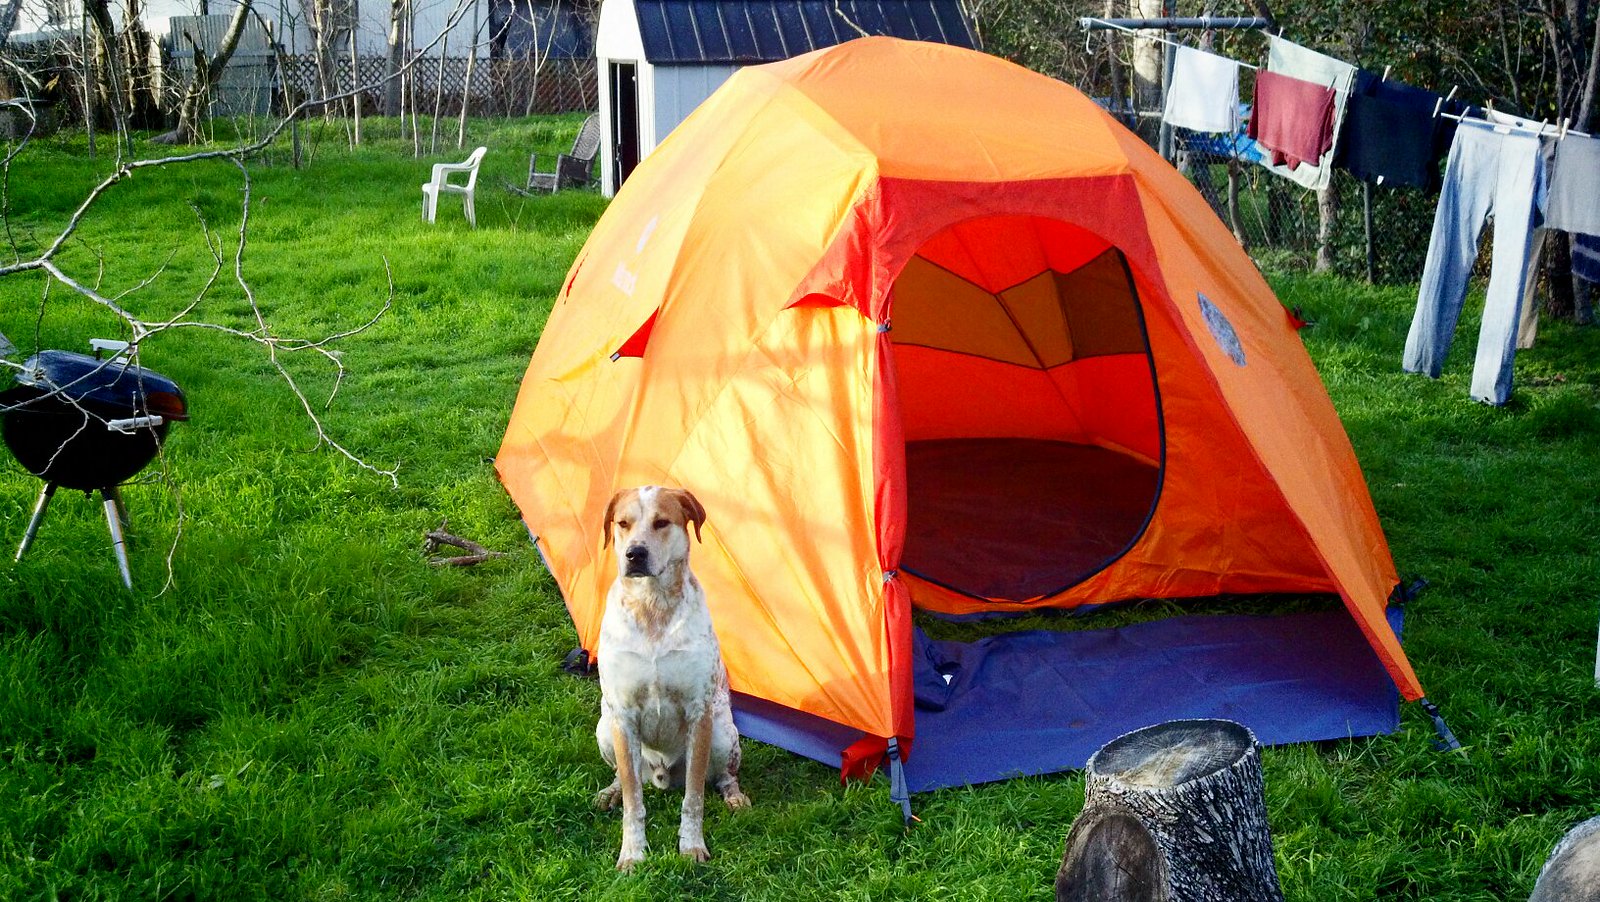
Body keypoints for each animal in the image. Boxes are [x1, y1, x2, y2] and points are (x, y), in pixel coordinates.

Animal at [598, 489, 752, 870]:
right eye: (622, 523)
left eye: (662, 522)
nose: (634, 554)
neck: (652, 607)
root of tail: (662, 775)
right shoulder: (623, 715)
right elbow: (633, 802)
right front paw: (633, 853)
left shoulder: (699, 713)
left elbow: (694, 798)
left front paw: (691, 846)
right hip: (605, 728)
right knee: (622, 775)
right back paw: (609, 792)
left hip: (723, 734)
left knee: (724, 776)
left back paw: (735, 797)